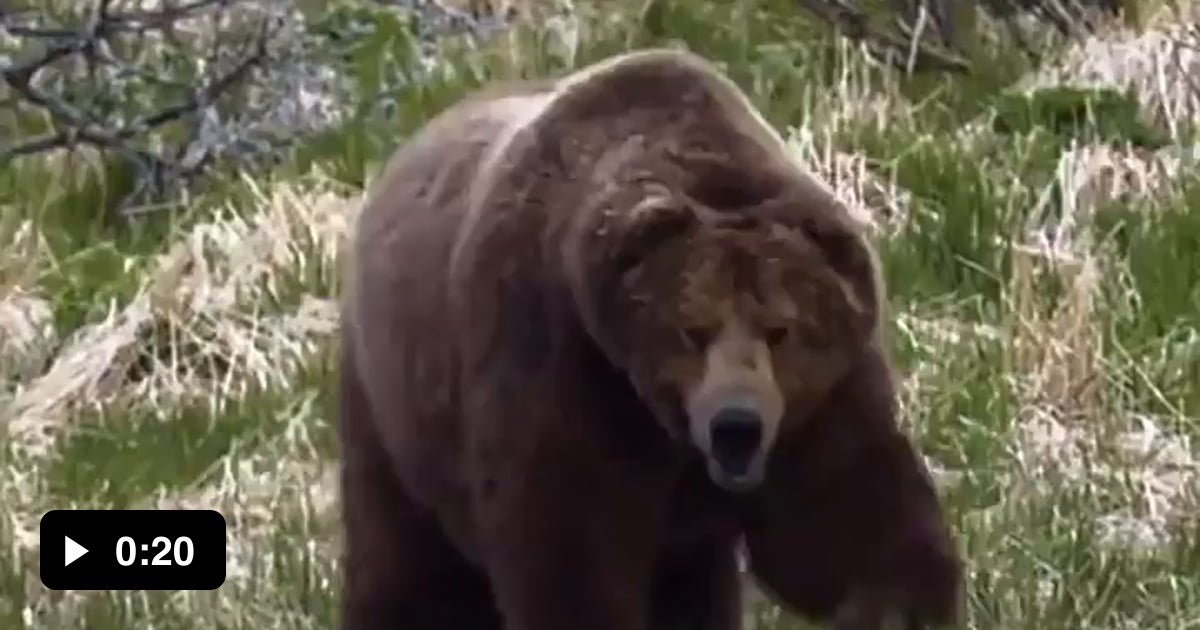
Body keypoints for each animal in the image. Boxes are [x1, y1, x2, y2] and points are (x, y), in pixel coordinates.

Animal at [337, 47, 964, 630]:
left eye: (780, 329)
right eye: (693, 329)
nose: (736, 424)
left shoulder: (820, 404)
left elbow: (845, 520)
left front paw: (899, 604)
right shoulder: (564, 363)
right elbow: (568, 545)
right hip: (393, 413)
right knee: (408, 566)